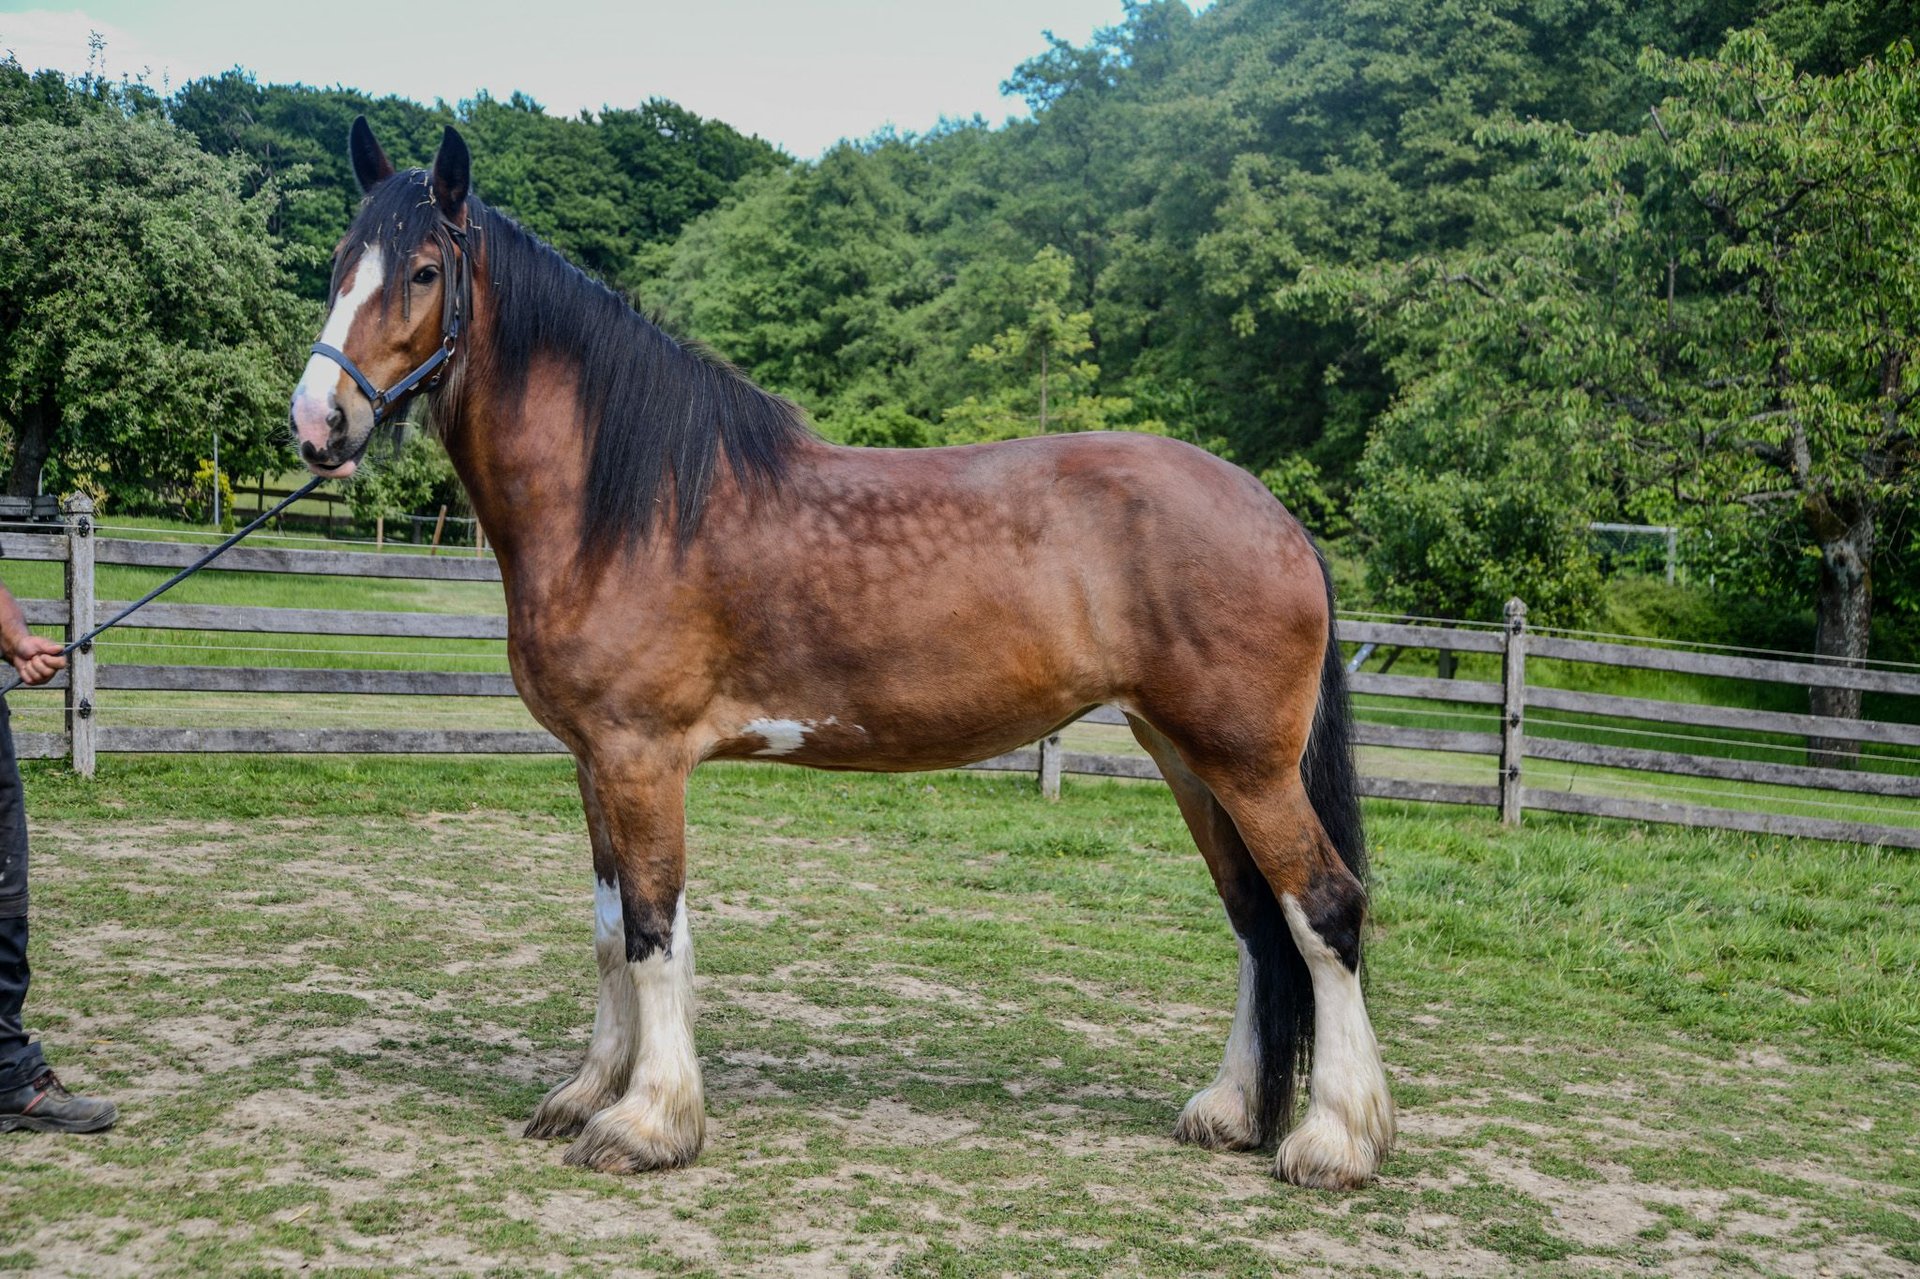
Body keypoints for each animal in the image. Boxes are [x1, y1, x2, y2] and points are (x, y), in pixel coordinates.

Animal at [287, 118, 1395, 1189]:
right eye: (340, 265)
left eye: (422, 271)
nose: (317, 421)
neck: (629, 504)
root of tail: (1277, 518)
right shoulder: (593, 763)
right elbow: (608, 930)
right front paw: (590, 1090)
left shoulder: (642, 759)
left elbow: (653, 931)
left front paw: (649, 1122)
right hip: (1188, 757)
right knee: (1255, 920)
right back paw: (1233, 1112)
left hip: (1246, 765)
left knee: (1323, 911)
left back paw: (1335, 1141)